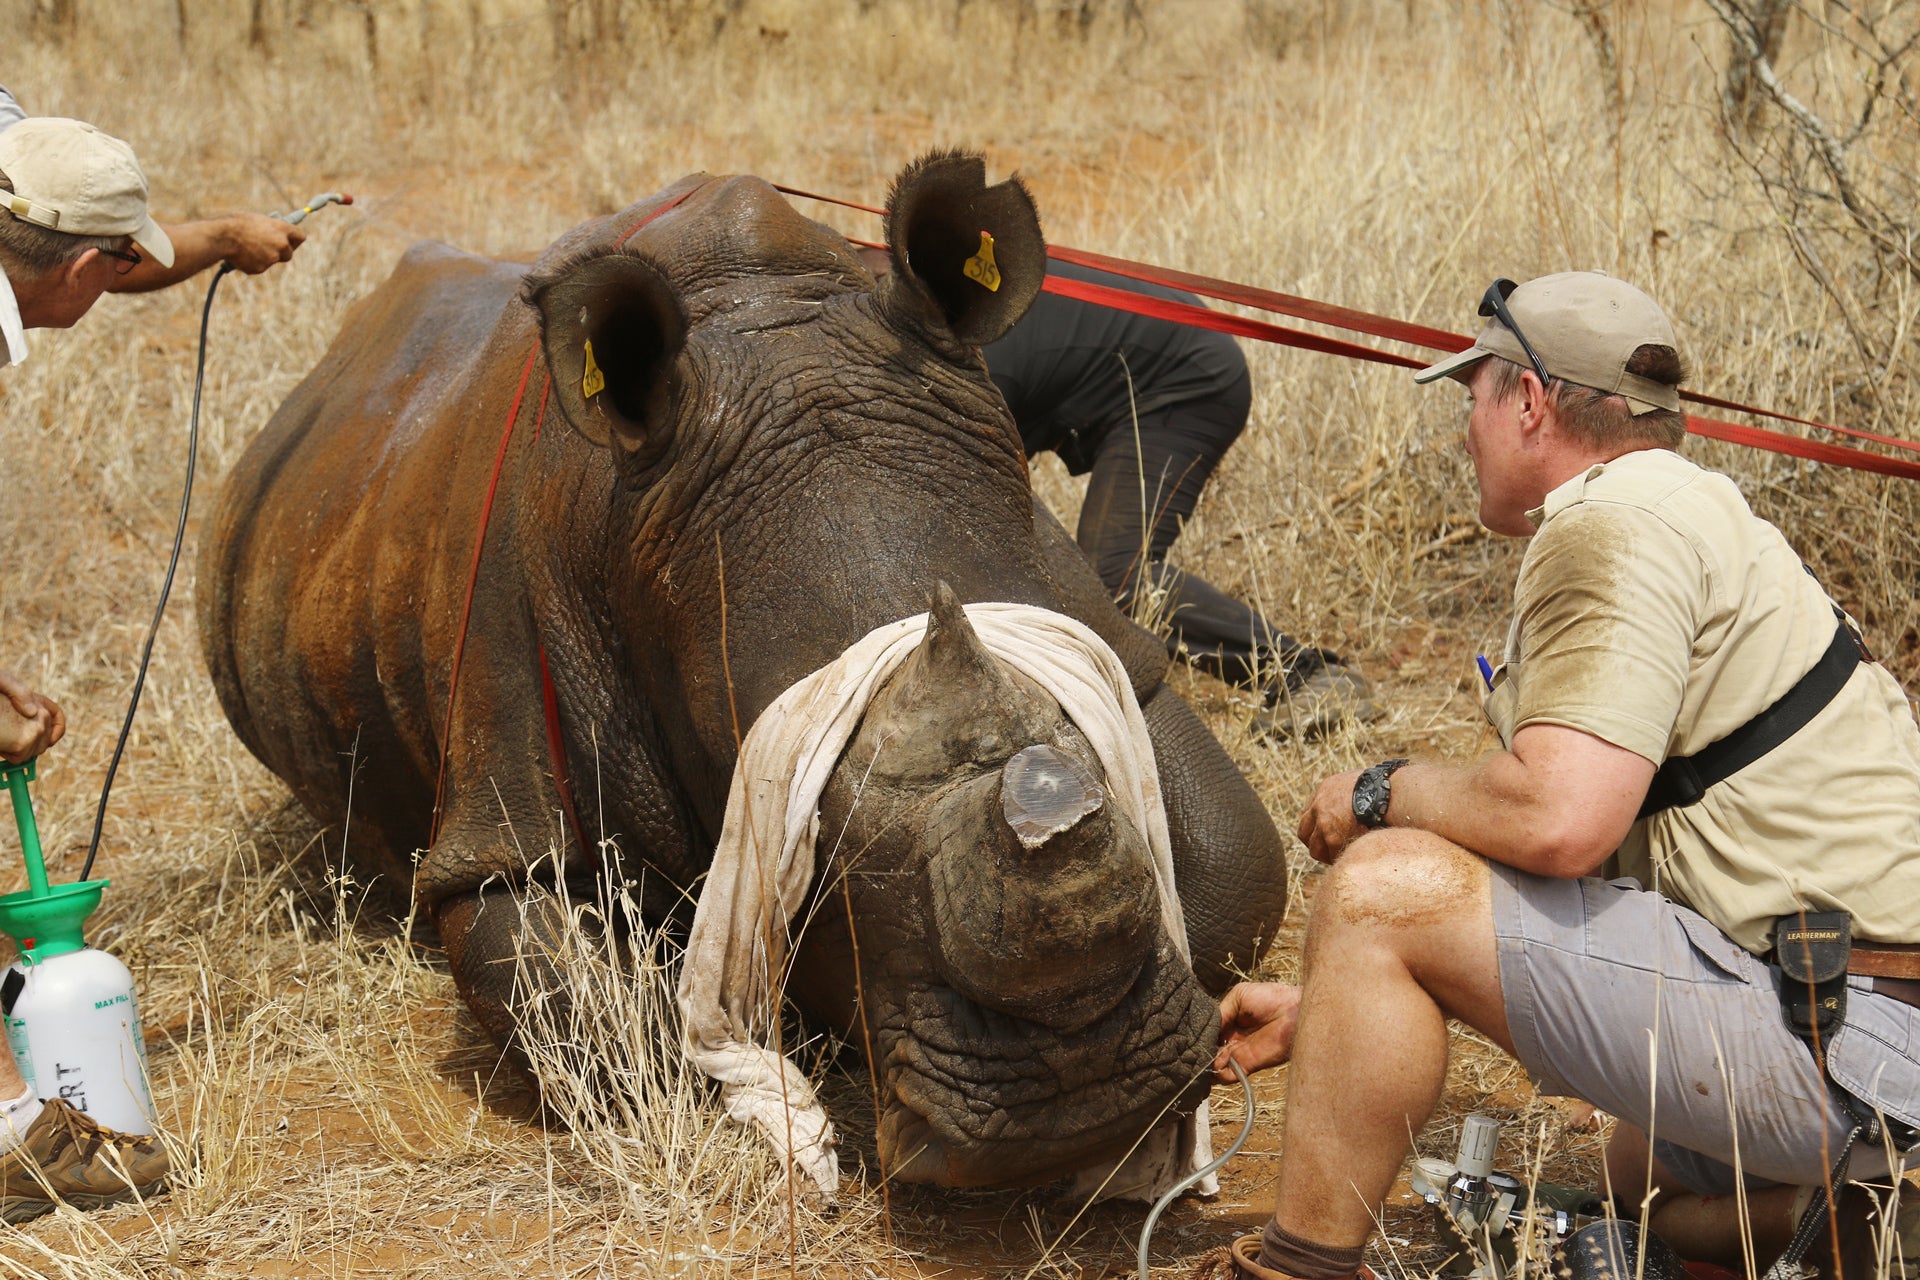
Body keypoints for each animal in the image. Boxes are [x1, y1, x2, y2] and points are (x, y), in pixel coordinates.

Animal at [197, 152, 1287, 1191]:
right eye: (813, 850)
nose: (1092, 1105)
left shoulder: (1098, 633)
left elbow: (1240, 861)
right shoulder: (508, 763)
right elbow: (600, 1016)